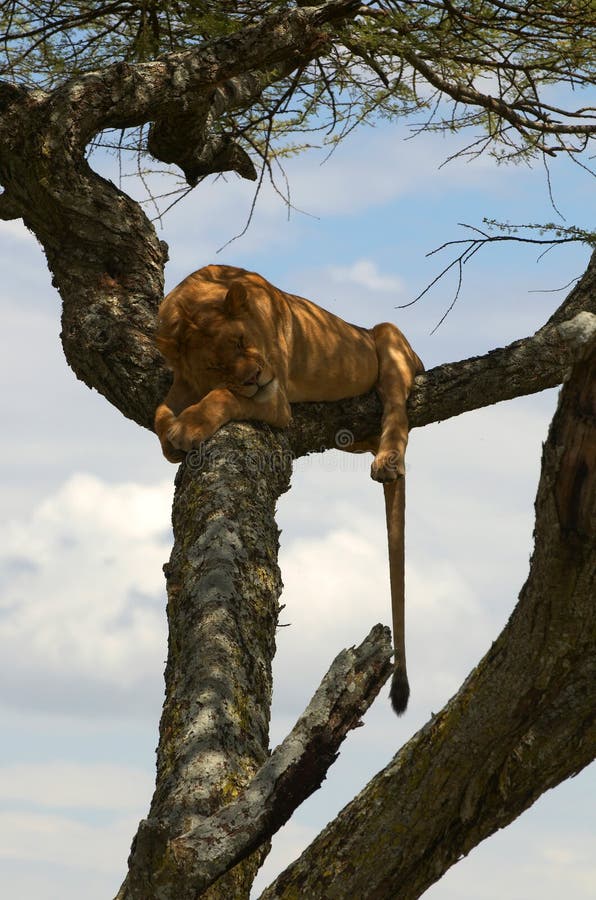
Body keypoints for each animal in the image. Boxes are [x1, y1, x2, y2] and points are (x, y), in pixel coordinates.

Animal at [154, 264, 423, 714]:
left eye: (241, 340)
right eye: (216, 363)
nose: (254, 377)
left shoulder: (274, 398)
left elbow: (221, 398)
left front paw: (188, 427)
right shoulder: (183, 383)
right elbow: (162, 411)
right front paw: (170, 436)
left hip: (388, 338)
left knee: (396, 411)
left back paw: (387, 461)